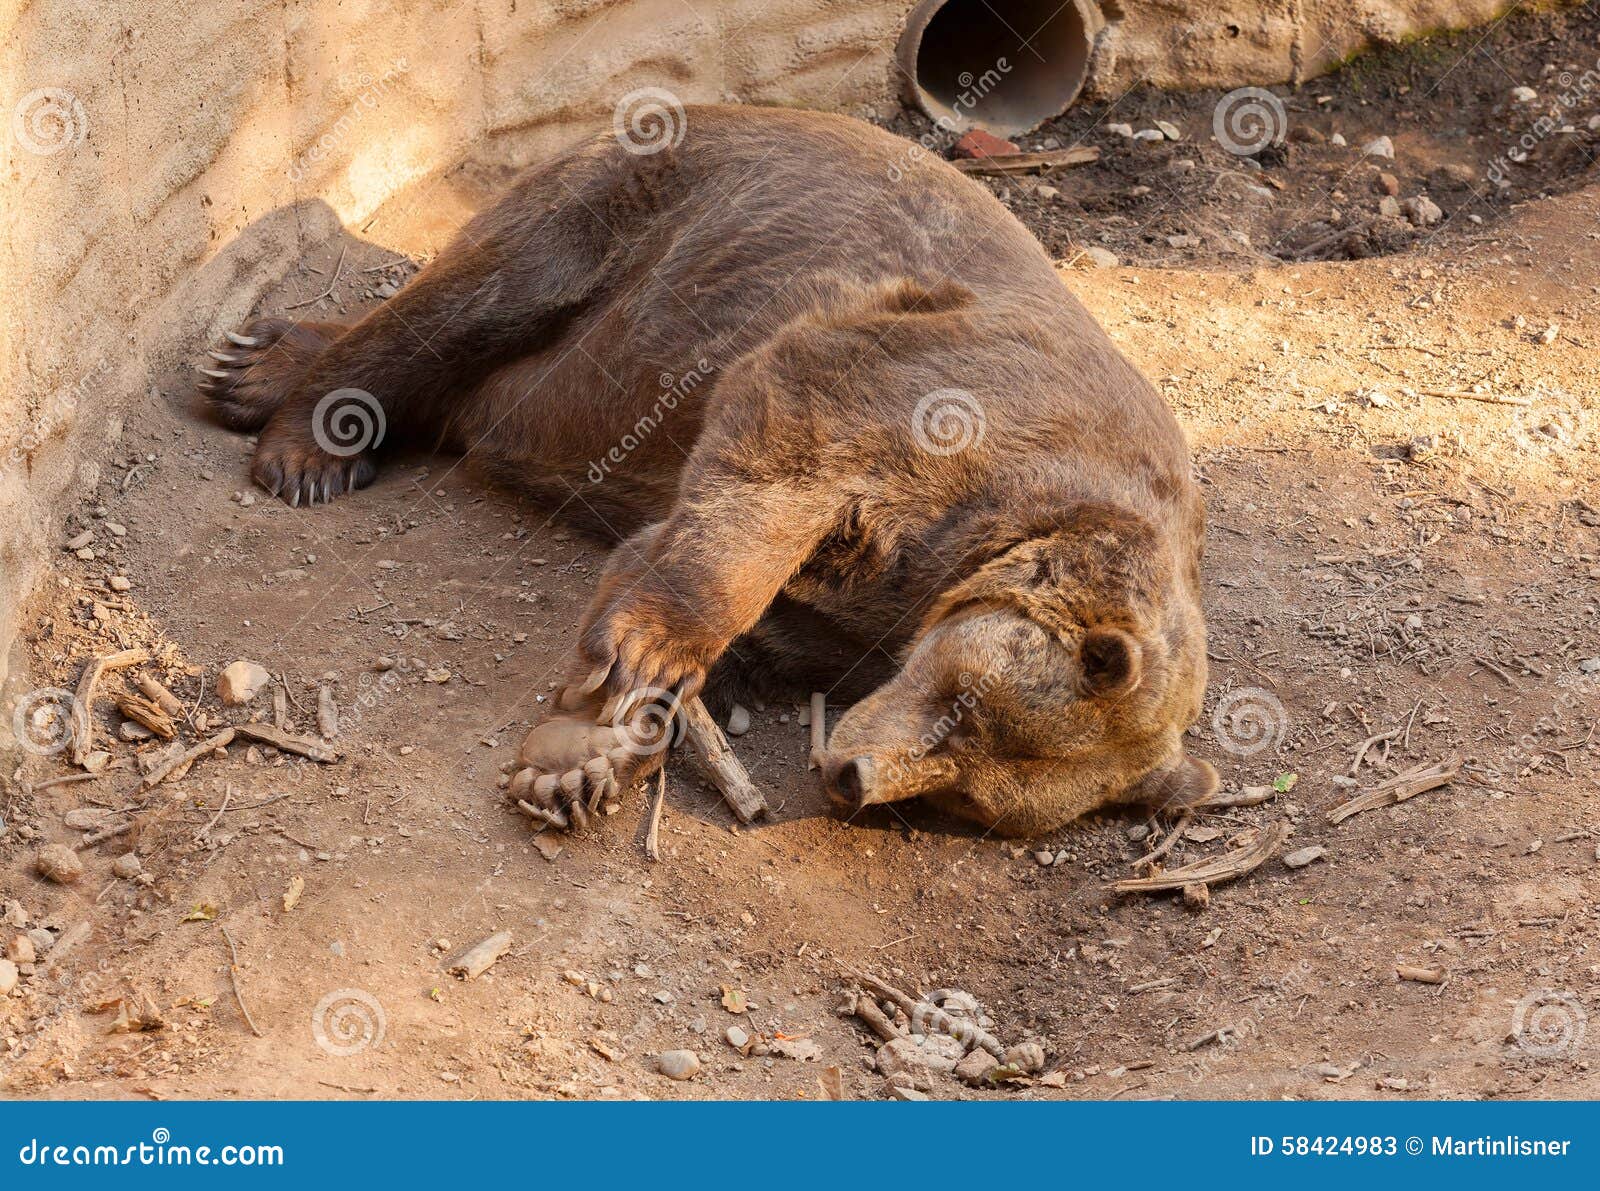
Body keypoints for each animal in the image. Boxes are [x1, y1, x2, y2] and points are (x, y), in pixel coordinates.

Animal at [197, 104, 1217, 837]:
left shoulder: (868, 621)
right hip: (633, 208)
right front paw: (643, 657)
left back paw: (258, 362)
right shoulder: (924, 391)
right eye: (962, 711)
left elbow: (756, 631)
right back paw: (304, 432)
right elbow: (770, 469)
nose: (852, 780)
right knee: (480, 294)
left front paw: (584, 756)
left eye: (962, 796)